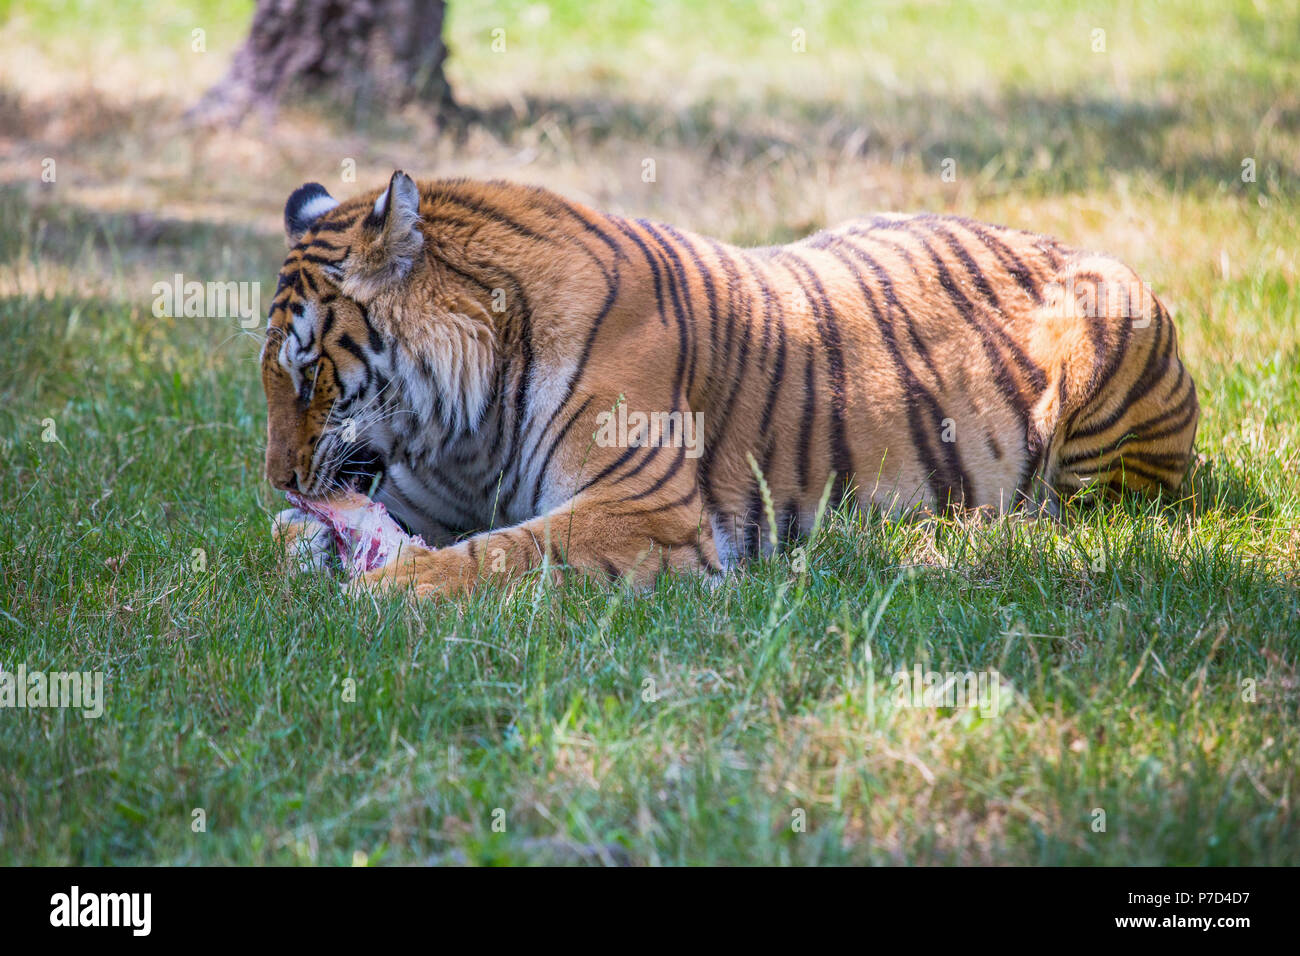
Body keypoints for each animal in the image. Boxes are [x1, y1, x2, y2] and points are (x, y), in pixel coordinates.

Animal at [262, 170, 1198, 598]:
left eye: (309, 373)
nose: (278, 476)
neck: (465, 427)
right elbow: (281, 538)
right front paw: (311, 547)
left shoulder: (642, 510)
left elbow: (502, 553)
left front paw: (385, 589)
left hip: (1110, 333)